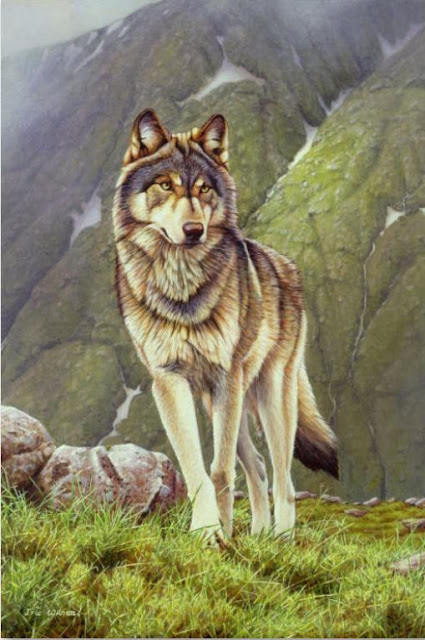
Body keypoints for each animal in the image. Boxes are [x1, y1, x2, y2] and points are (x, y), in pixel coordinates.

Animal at [113, 109, 338, 544]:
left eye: (203, 189)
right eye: (165, 185)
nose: (193, 230)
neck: (182, 291)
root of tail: (286, 266)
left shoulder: (225, 376)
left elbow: (218, 470)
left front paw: (218, 533)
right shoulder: (169, 381)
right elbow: (196, 469)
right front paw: (208, 532)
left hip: (270, 396)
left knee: (283, 475)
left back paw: (280, 540)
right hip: (225, 400)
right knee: (259, 467)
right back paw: (257, 534)